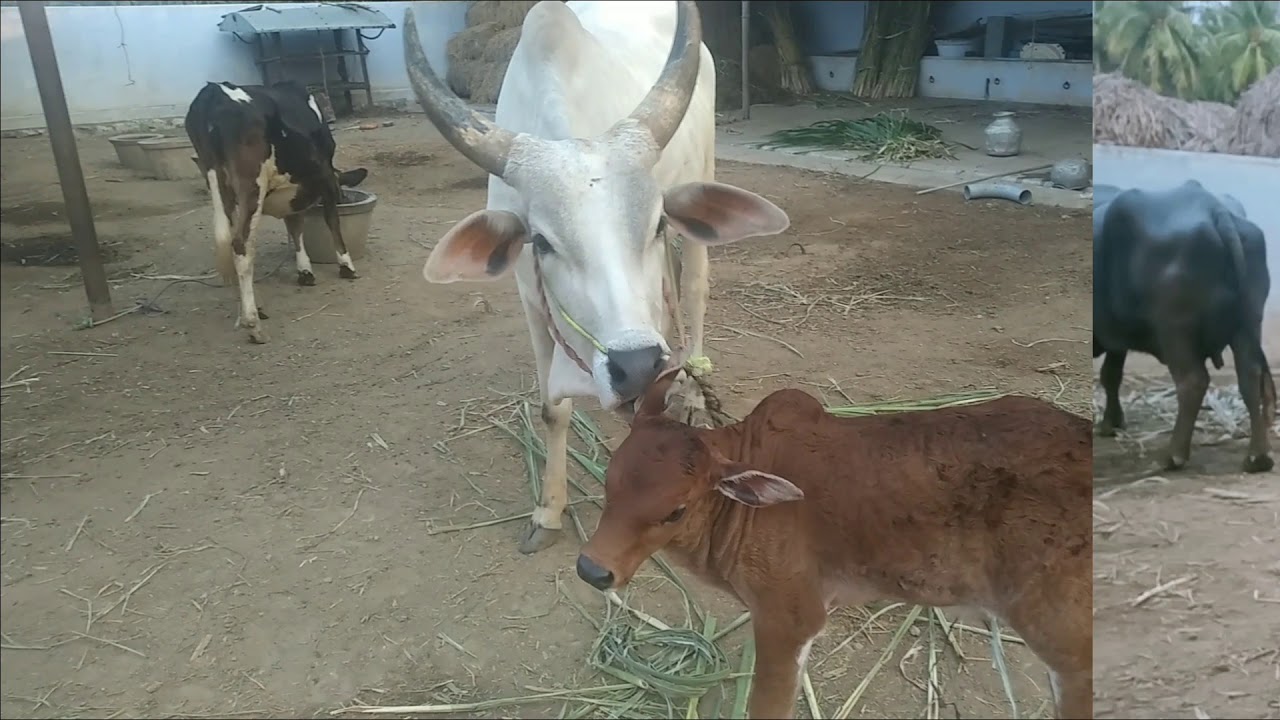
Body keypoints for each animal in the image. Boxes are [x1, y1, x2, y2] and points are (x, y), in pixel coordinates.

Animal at [184, 80, 370, 344]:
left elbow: (295, 226)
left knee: (229, 241)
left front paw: (305, 271)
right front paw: (347, 266)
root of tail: (213, 92)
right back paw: (253, 325)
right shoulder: (324, 173)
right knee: (241, 245)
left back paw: (255, 309)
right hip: (251, 181)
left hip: (217, 181)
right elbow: (331, 220)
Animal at [402, 1, 792, 555]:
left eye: (656, 224)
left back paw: (692, 391)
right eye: (541, 241)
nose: (638, 366)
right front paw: (548, 511)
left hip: (702, 190)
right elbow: (552, 410)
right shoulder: (531, 302)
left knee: (693, 294)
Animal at [1093, 180, 1275, 473]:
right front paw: (1112, 423)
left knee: (1192, 381)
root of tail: (1215, 210)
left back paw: (1172, 455)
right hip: (1248, 323)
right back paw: (1257, 457)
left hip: (1174, 328)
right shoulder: (1116, 338)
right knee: (1250, 375)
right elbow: (1111, 375)